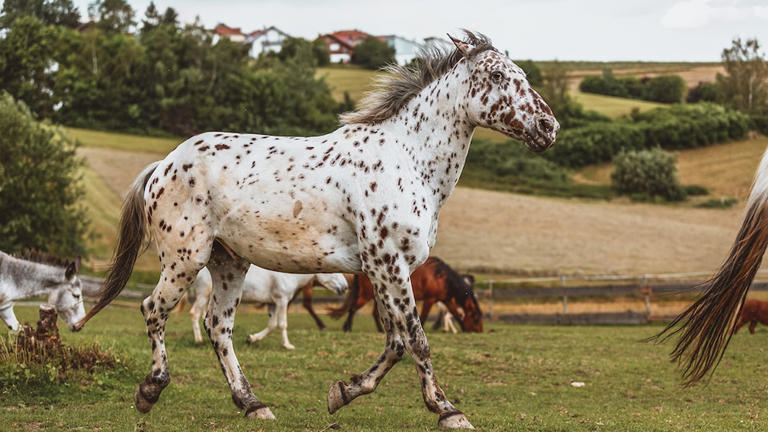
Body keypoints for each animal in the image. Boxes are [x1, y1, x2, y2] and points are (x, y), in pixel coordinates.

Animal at [188, 265, 347, 348]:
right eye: (332, 271)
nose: (345, 287)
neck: (290, 275)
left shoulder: (272, 303)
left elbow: (272, 325)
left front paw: (251, 339)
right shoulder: (282, 301)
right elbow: (282, 324)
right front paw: (287, 345)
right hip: (203, 294)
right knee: (194, 313)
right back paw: (198, 340)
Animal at [330, 257, 483, 333]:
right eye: (475, 318)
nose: (479, 331)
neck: (441, 277)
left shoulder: (446, 299)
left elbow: (455, 313)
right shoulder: (430, 299)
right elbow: (424, 316)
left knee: (373, 313)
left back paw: (380, 330)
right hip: (366, 295)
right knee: (353, 309)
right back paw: (348, 328)